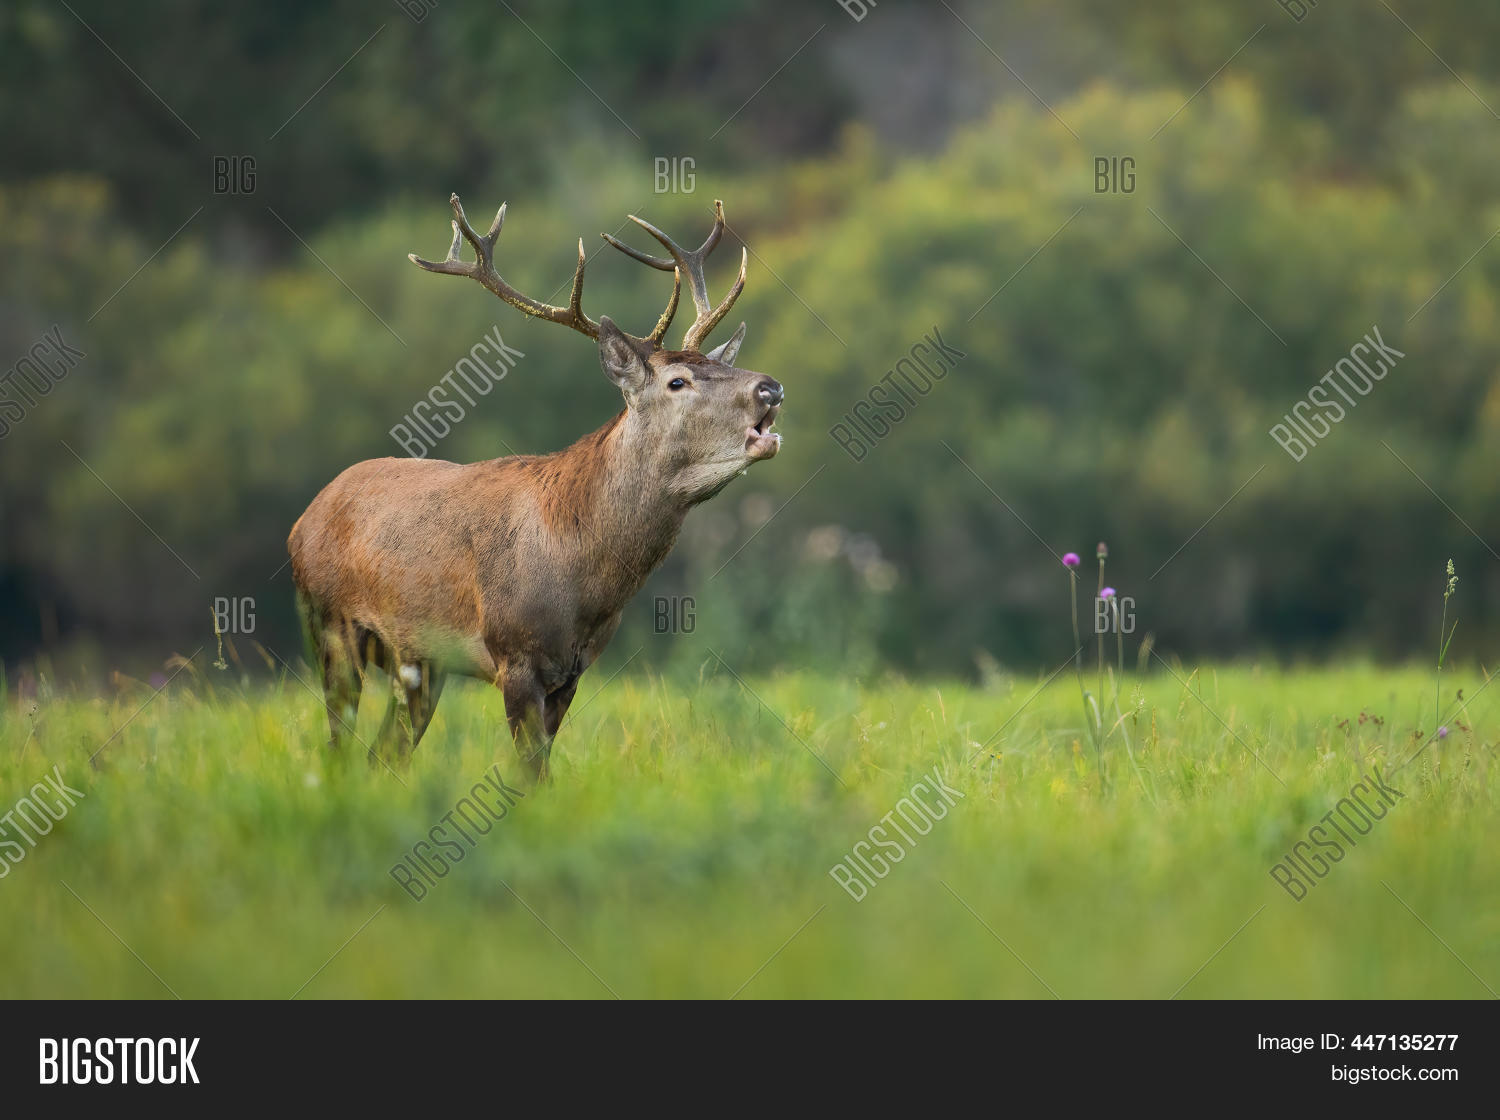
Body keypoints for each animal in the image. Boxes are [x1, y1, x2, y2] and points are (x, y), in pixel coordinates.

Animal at [287, 192, 782, 782]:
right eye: (676, 381)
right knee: (339, 747)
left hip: (418, 662)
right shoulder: (514, 653)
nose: (770, 387)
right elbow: (529, 772)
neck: (582, 575)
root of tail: (301, 521)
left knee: (384, 753)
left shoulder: (572, 671)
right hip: (330, 626)